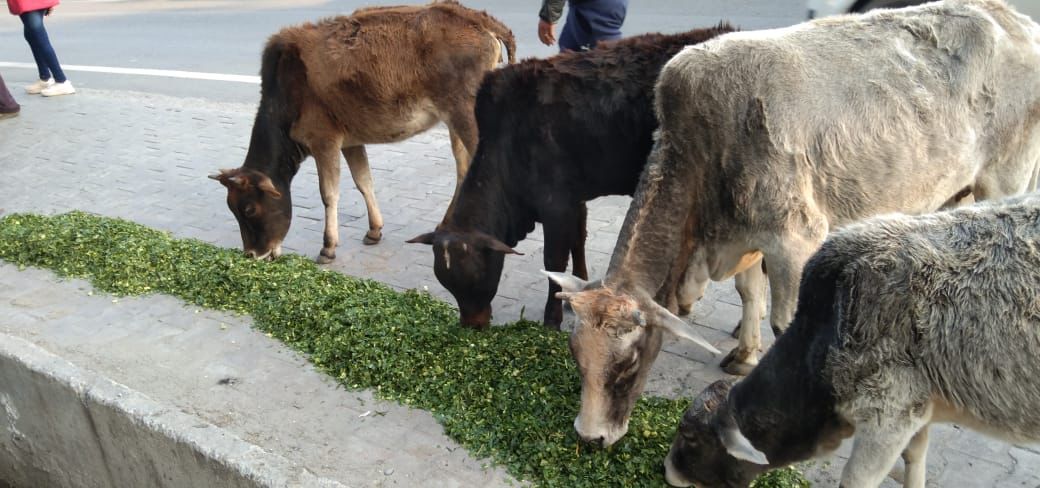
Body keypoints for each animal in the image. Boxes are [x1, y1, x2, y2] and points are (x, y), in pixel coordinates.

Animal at [211, 1, 515, 262]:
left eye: (249, 208)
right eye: (231, 208)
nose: (253, 254)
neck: (287, 90)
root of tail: (476, 17)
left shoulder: (323, 140)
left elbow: (329, 193)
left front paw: (328, 247)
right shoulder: (350, 141)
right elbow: (363, 181)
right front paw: (374, 231)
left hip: (464, 115)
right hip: (453, 119)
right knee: (463, 168)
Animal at [406, 24, 735, 330]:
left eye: (476, 278)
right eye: (447, 283)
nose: (472, 325)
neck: (510, 138)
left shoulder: (556, 206)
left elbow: (554, 260)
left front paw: (552, 317)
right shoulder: (574, 199)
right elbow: (578, 242)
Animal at [546, 0, 1040, 447]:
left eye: (627, 364)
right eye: (575, 354)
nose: (590, 437)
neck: (706, 147)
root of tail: (1011, 18)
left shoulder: (794, 240)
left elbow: (786, 322)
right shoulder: (745, 235)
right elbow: (749, 293)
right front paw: (745, 353)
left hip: (1004, 178)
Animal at [664, 193, 1040, 488]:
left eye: (691, 437)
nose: (667, 470)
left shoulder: (888, 414)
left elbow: (857, 478)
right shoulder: (920, 405)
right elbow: (915, 454)